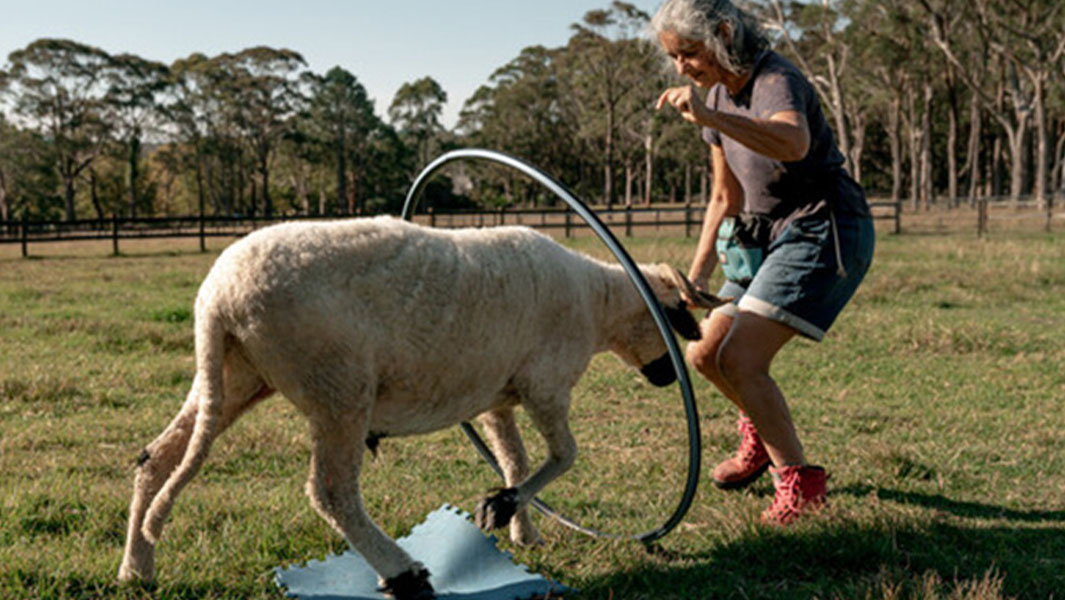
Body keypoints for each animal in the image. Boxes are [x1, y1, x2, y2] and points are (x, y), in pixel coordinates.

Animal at [116, 215, 723, 600]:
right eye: (679, 320)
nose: (671, 377)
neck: (599, 303)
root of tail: (217, 300)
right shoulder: (546, 386)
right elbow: (564, 456)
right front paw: (502, 508)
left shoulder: (497, 399)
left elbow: (516, 461)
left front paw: (519, 527)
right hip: (338, 390)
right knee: (332, 493)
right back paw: (404, 574)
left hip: (232, 377)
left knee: (156, 459)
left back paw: (136, 568)